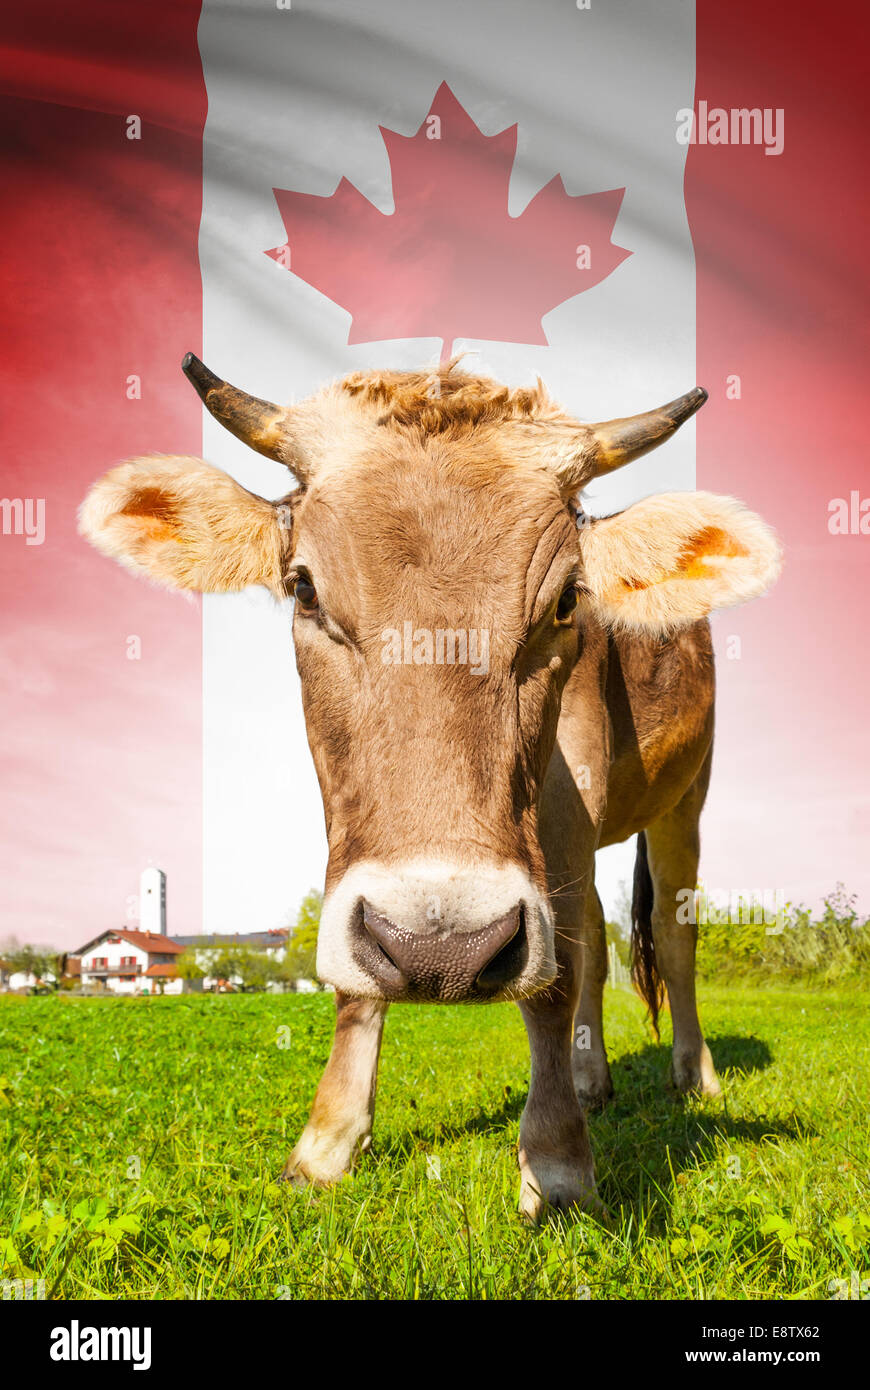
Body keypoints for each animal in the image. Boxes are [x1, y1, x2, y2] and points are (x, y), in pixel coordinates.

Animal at [80, 355, 781, 1221]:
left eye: (566, 601)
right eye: (304, 588)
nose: (440, 949)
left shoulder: (571, 796)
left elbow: (553, 978)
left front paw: (557, 1162)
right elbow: (362, 974)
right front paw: (327, 1142)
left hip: (687, 797)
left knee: (671, 939)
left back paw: (693, 1075)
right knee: (591, 935)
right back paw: (592, 1081)